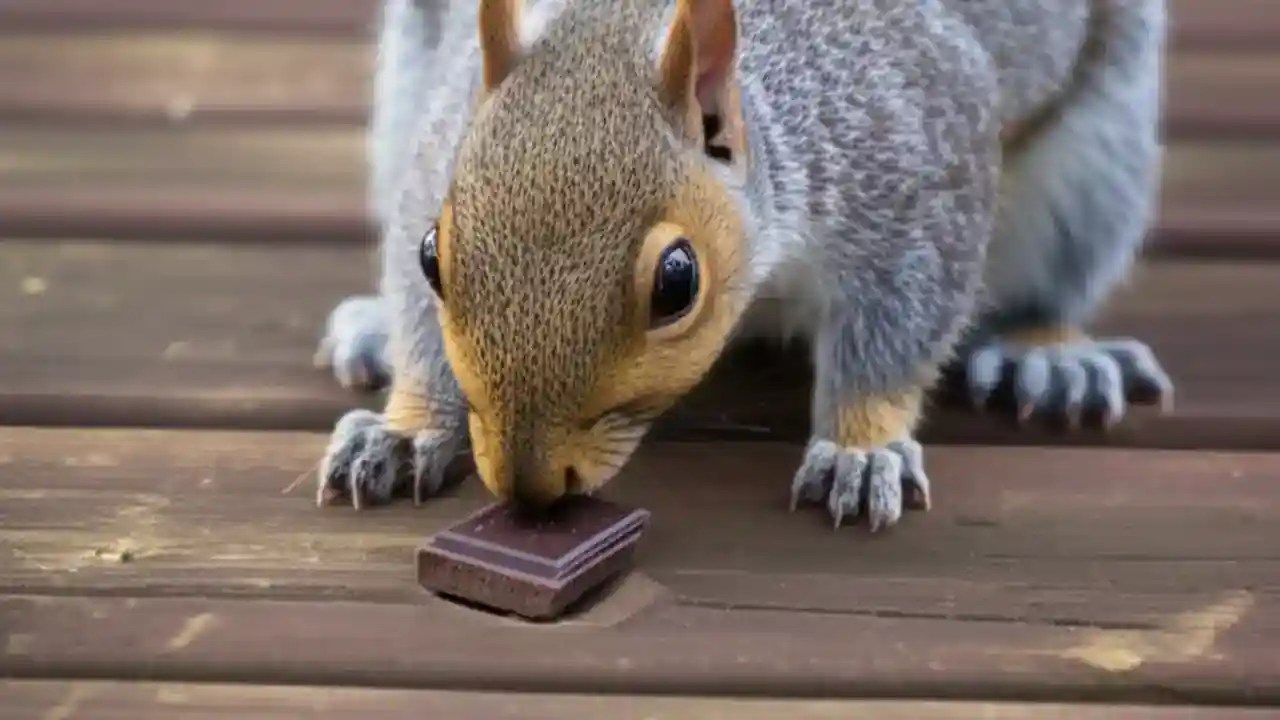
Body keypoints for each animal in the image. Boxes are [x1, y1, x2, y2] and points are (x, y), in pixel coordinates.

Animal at [314, 0, 1174, 530]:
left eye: (676, 283)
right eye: (434, 256)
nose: (529, 488)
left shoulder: (914, 153)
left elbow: (903, 321)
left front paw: (861, 451)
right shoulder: (438, 142)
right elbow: (417, 305)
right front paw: (406, 427)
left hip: (1095, 162)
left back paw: (1049, 354)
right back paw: (373, 331)